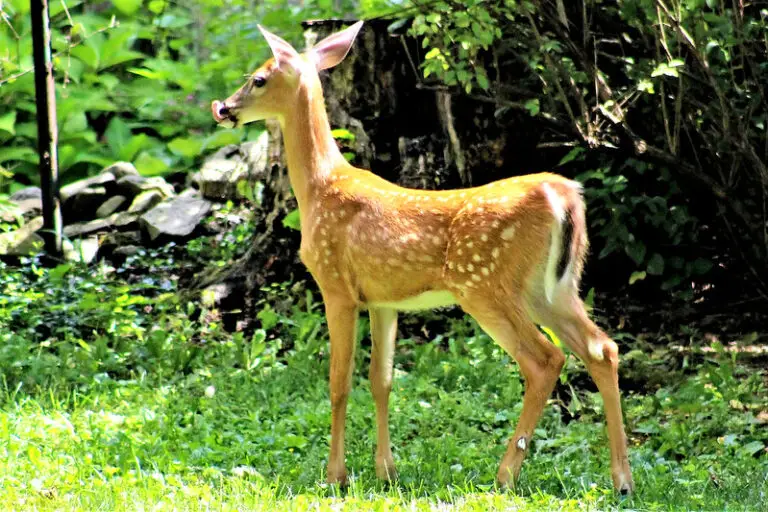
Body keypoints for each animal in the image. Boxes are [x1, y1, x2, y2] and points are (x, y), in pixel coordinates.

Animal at [211, 21, 634, 494]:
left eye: (258, 78)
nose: (224, 108)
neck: (320, 187)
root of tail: (564, 195)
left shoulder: (336, 287)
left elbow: (339, 382)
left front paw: (335, 475)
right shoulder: (383, 300)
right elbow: (382, 380)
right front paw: (386, 471)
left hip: (485, 283)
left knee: (545, 360)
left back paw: (505, 474)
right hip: (553, 287)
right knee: (602, 348)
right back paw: (622, 480)